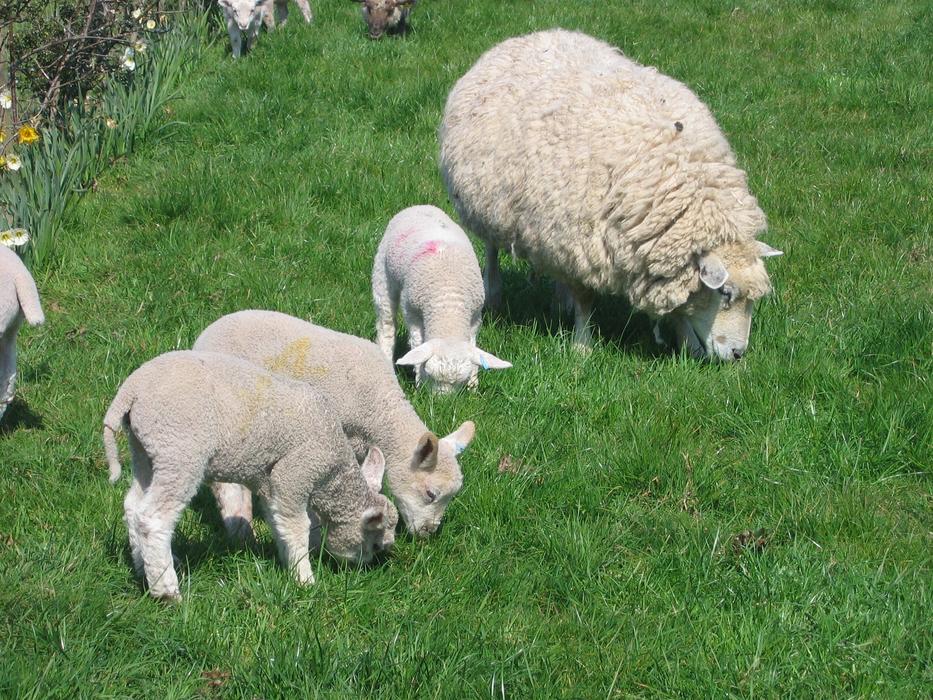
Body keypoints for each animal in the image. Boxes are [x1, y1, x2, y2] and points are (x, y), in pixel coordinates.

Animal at [103, 350, 398, 600]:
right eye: (375, 544)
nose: (364, 568)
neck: (333, 471)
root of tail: (131, 391)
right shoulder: (295, 473)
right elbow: (296, 526)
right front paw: (305, 580)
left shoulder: (270, 484)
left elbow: (278, 522)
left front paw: (289, 565)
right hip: (178, 451)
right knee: (152, 518)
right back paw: (165, 590)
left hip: (146, 451)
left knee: (133, 507)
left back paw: (142, 568)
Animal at [373, 205, 512, 393]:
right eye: (431, 375)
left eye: (460, 381)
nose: (442, 400)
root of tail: (419, 206)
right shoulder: (412, 311)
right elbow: (417, 343)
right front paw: (420, 379)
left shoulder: (475, 316)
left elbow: (473, 345)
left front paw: (473, 385)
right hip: (382, 274)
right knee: (386, 325)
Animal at [439, 29, 783, 361]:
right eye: (725, 293)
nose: (738, 354)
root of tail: (531, 36)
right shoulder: (582, 244)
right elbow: (585, 298)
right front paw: (582, 347)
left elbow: (681, 306)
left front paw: (690, 347)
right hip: (492, 205)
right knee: (492, 247)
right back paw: (494, 293)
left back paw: (559, 301)